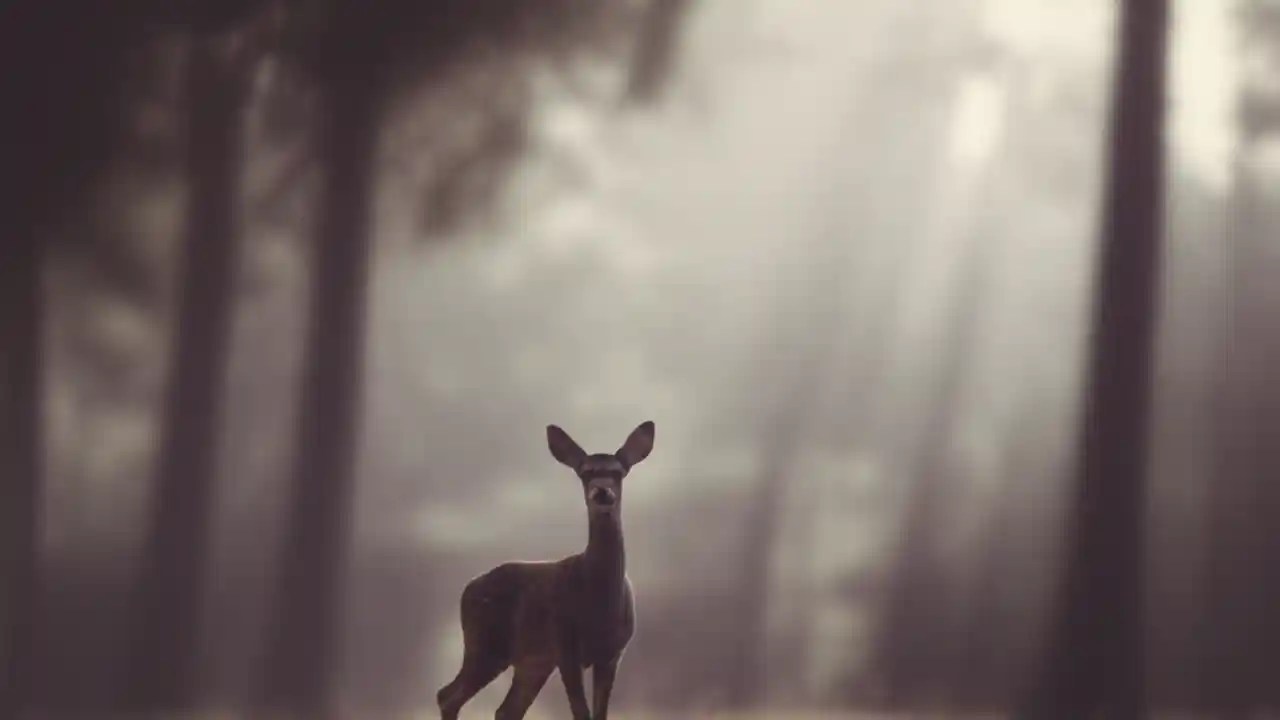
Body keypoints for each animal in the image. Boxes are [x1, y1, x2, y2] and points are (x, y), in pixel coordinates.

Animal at [436, 421, 655, 720]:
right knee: (448, 695)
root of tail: (467, 589)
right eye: (585, 473)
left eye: (618, 472)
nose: (601, 492)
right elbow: (581, 712)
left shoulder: (612, 654)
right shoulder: (565, 647)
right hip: (485, 644)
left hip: (531, 662)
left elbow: (599, 714)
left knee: (505, 709)